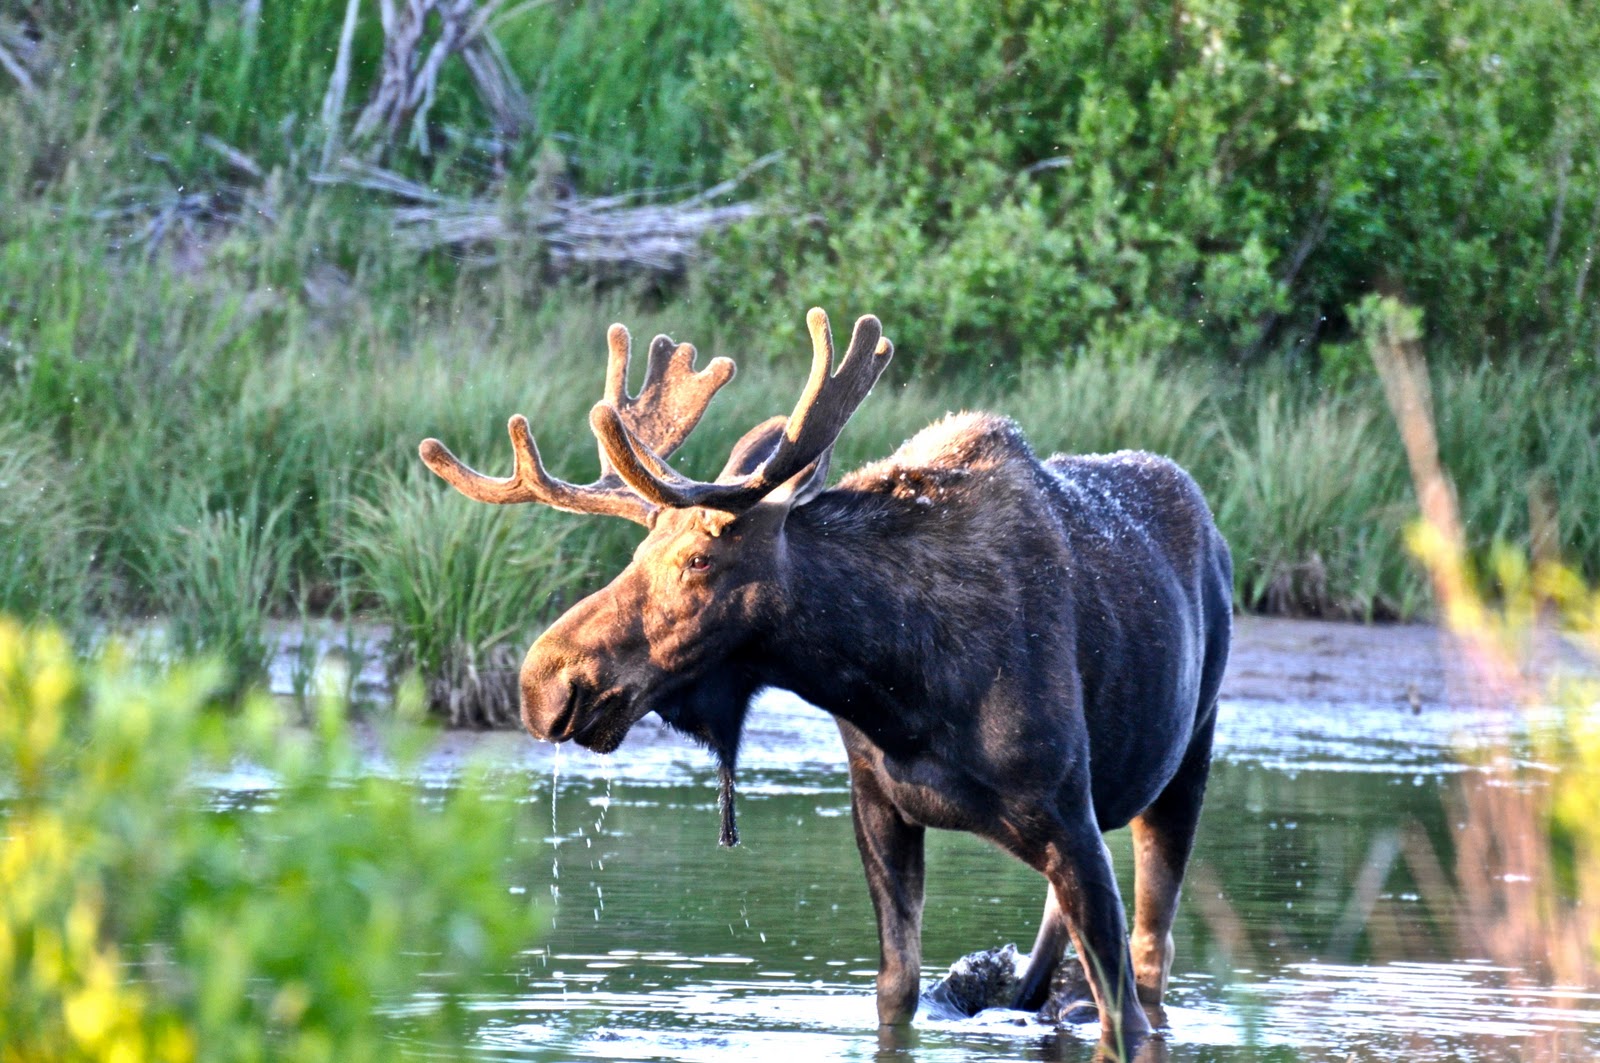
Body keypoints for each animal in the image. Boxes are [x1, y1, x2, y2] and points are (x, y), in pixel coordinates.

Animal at [419, 309, 1233, 1053]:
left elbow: (1124, 1014)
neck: (897, 680)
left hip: (1185, 761)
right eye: (639, 551)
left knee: (1152, 960)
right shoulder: (878, 806)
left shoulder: (1068, 815)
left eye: (699, 560)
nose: (543, 683)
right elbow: (895, 990)